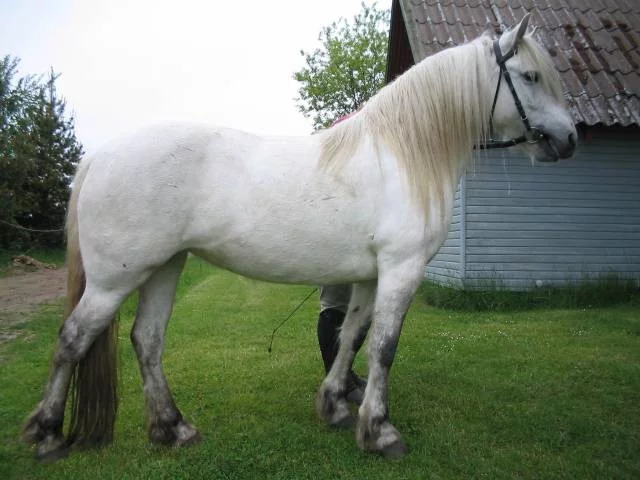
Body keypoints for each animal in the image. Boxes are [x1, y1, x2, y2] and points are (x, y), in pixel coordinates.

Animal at [23, 14, 576, 460]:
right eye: (530, 76)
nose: (570, 138)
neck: (401, 153)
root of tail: (99, 154)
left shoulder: (370, 276)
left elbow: (351, 336)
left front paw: (334, 406)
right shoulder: (401, 269)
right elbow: (384, 347)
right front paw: (380, 431)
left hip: (164, 266)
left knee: (147, 340)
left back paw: (173, 428)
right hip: (115, 280)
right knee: (73, 339)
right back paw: (47, 435)